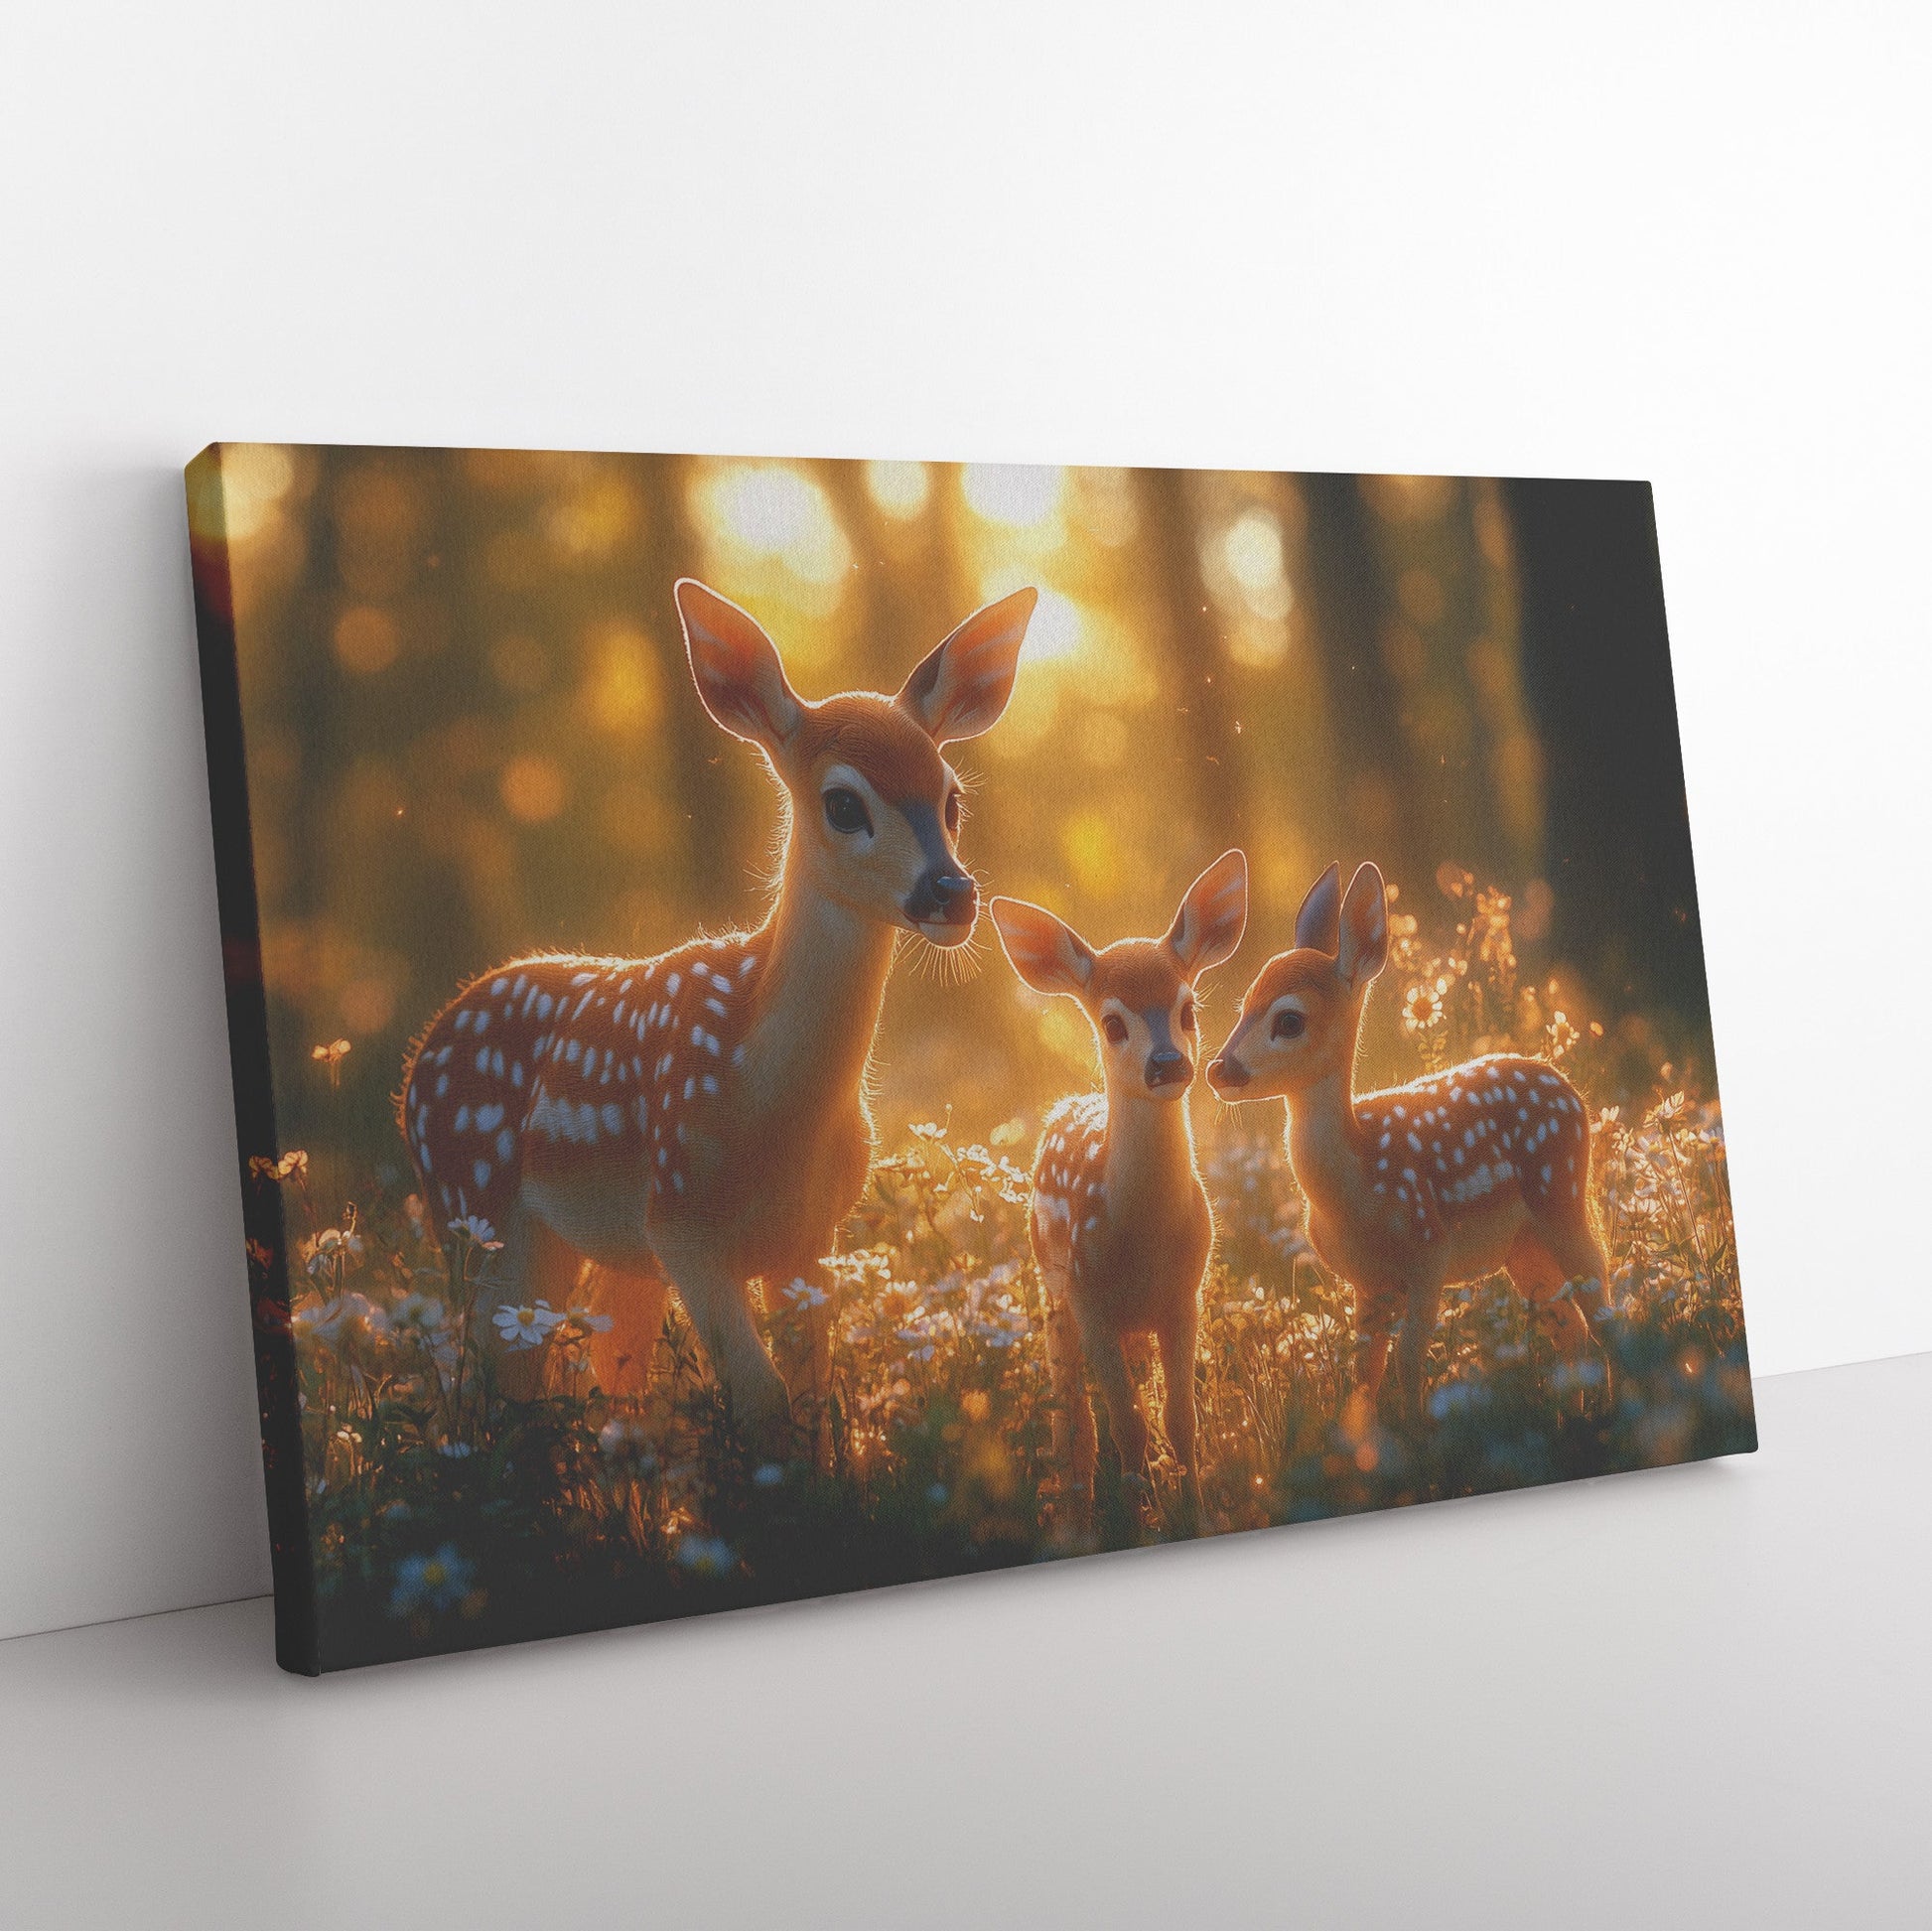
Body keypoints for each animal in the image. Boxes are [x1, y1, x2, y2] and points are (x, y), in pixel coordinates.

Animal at [399, 577, 1036, 1448]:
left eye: (952, 799)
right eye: (843, 802)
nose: (952, 893)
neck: (767, 1100)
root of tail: (419, 1061)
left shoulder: (811, 1236)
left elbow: (813, 1401)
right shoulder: (682, 1218)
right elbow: (764, 1400)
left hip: (587, 1246)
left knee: (591, 1381)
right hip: (472, 1208)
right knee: (493, 1382)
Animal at [990, 850, 1248, 1527]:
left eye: (1188, 1009)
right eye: (1112, 1022)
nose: (1168, 1063)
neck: (1146, 1236)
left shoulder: (1184, 1296)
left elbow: (1179, 1422)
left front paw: (1197, 1516)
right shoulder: (1091, 1300)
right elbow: (1125, 1428)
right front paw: (1139, 1522)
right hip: (1052, 1293)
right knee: (1072, 1428)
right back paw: (1078, 1523)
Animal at [1205, 861, 1612, 1428]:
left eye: (1289, 1019)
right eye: (1245, 1003)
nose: (1219, 1070)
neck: (1358, 1185)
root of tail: (1571, 1091)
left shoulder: (1428, 1255)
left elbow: (1409, 1364)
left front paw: (1421, 1440)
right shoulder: (1367, 1283)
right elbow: (1365, 1376)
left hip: (1563, 1202)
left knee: (1605, 1311)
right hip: (1524, 1247)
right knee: (1571, 1329)